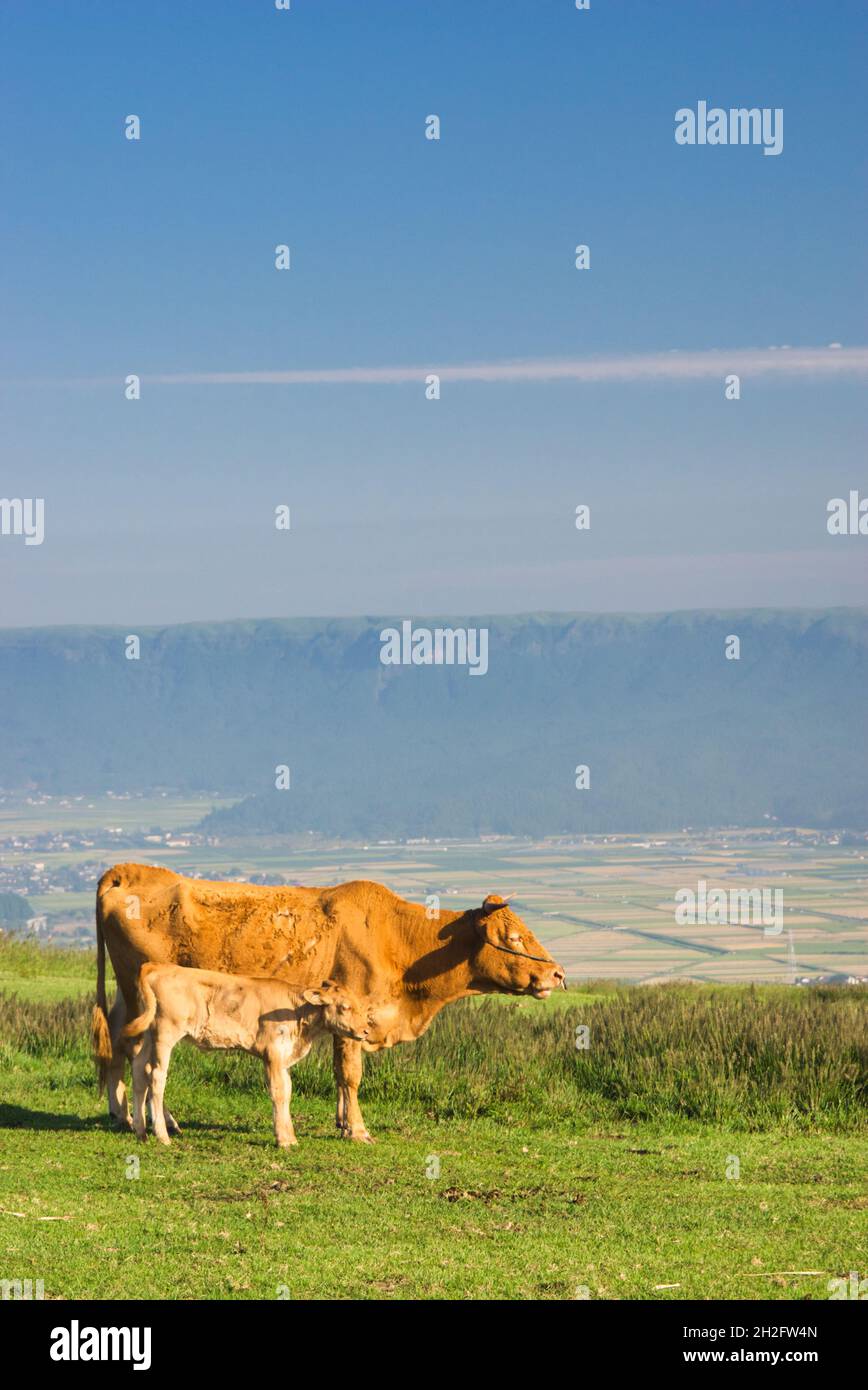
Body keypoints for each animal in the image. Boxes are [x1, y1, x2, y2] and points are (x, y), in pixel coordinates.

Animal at [121, 966, 370, 1148]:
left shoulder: (284, 1058)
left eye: (359, 1005)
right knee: (156, 1076)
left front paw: (290, 1136)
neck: (297, 1014)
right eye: (344, 1007)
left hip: (149, 1033)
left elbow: (288, 1092)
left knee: (139, 1068)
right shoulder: (272, 1055)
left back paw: (141, 1132)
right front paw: (284, 1140)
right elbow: (279, 1093)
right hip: (165, 1034)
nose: (366, 1031)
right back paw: (162, 1135)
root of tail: (156, 966)